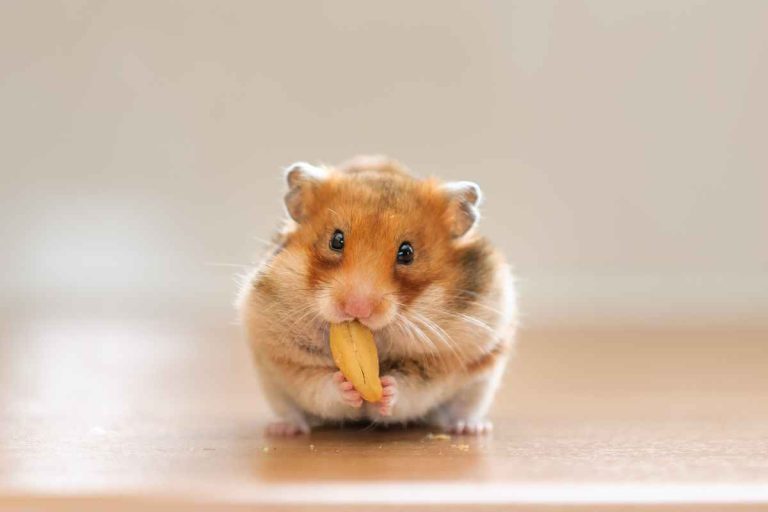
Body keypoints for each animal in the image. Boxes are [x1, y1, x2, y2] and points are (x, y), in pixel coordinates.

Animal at [237, 155, 517, 436]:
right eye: (336, 240)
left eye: (407, 252)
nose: (357, 309)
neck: (378, 338)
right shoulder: (287, 357)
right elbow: (319, 385)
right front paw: (345, 385)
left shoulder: (441, 361)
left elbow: (410, 387)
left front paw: (386, 389)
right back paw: (283, 429)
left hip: (480, 383)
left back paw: (471, 428)